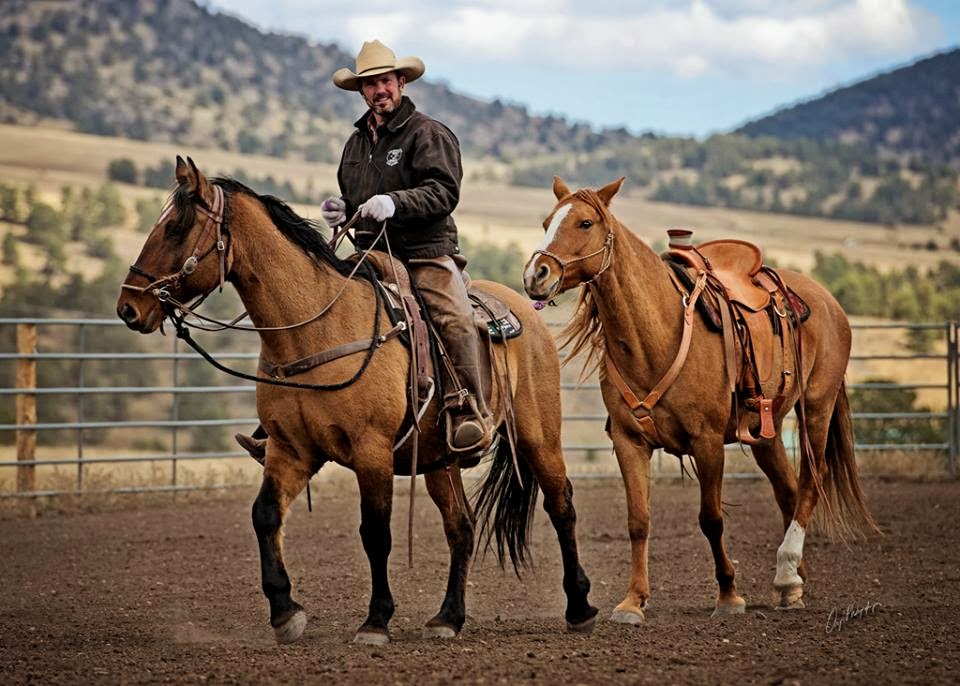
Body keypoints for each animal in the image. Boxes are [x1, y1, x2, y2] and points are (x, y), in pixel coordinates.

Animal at [116, 157, 597, 644]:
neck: (315, 329)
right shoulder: (291, 450)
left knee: (562, 506)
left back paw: (579, 606)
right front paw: (285, 611)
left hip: (540, 437)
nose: (128, 308)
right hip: (440, 459)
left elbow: (376, 533)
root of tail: (525, 309)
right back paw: (449, 616)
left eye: (176, 227)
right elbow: (265, 515)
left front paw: (376, 620)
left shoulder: (372, 450)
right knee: (461, 527)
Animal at [522, 176, 876, 623]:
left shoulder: (707, 442)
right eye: (547, 222)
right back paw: (793, 581)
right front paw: (633, 602)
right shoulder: (628, 440)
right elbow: (638, 520)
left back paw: (785, 572)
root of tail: (828, 301)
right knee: (788, 490)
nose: (536, 273)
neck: (655, 335)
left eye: (585, 222)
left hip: (817, 405)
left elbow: (711, 519)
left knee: (811, 481)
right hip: (766, 429)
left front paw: (728, 595)